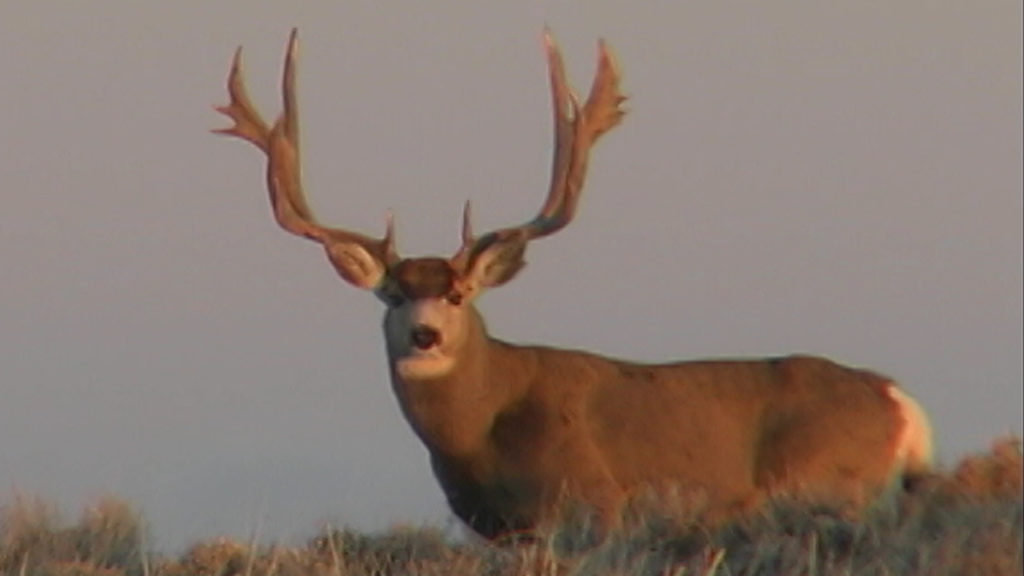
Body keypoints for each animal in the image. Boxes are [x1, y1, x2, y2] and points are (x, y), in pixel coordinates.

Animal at [214, 29, 934, 540]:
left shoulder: (594, 500)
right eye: (391, 294)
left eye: (458, 294)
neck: (484, 432)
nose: (423, 335)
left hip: (826, 484)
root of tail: (900, 403)